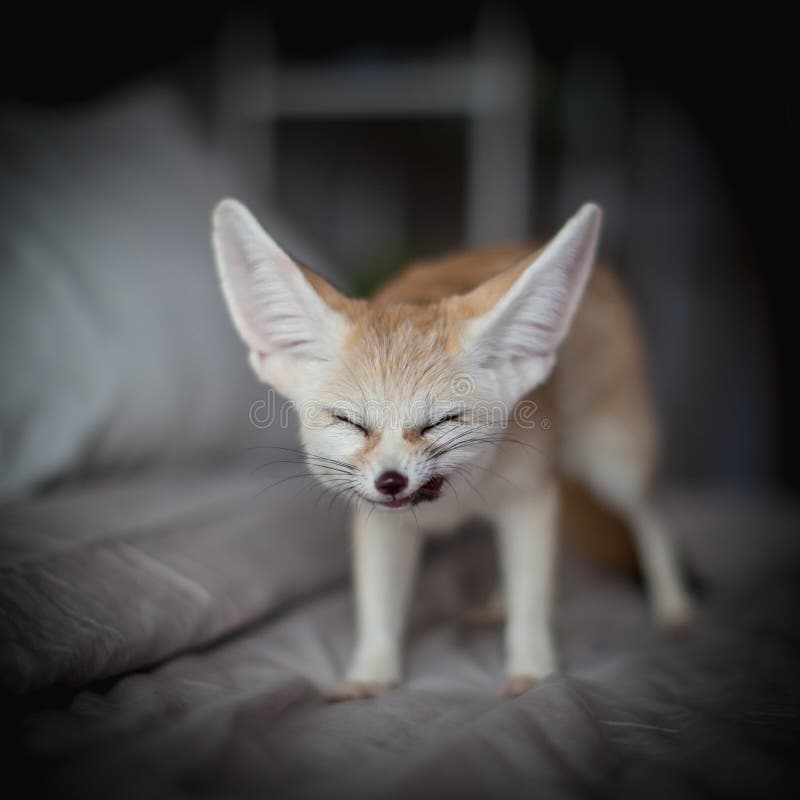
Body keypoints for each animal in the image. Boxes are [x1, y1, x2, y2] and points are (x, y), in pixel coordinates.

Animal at [211, 198, 695, 700]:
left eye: (440, 421)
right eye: (350, 422)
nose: (390, 481)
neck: (450, 506)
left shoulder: (529, 497)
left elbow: (532, 600)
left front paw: (534, 672)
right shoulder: (383, 523)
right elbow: (378, 608)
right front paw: (370, 675)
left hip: (614, 467)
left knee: (651, 518)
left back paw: (674, 607)